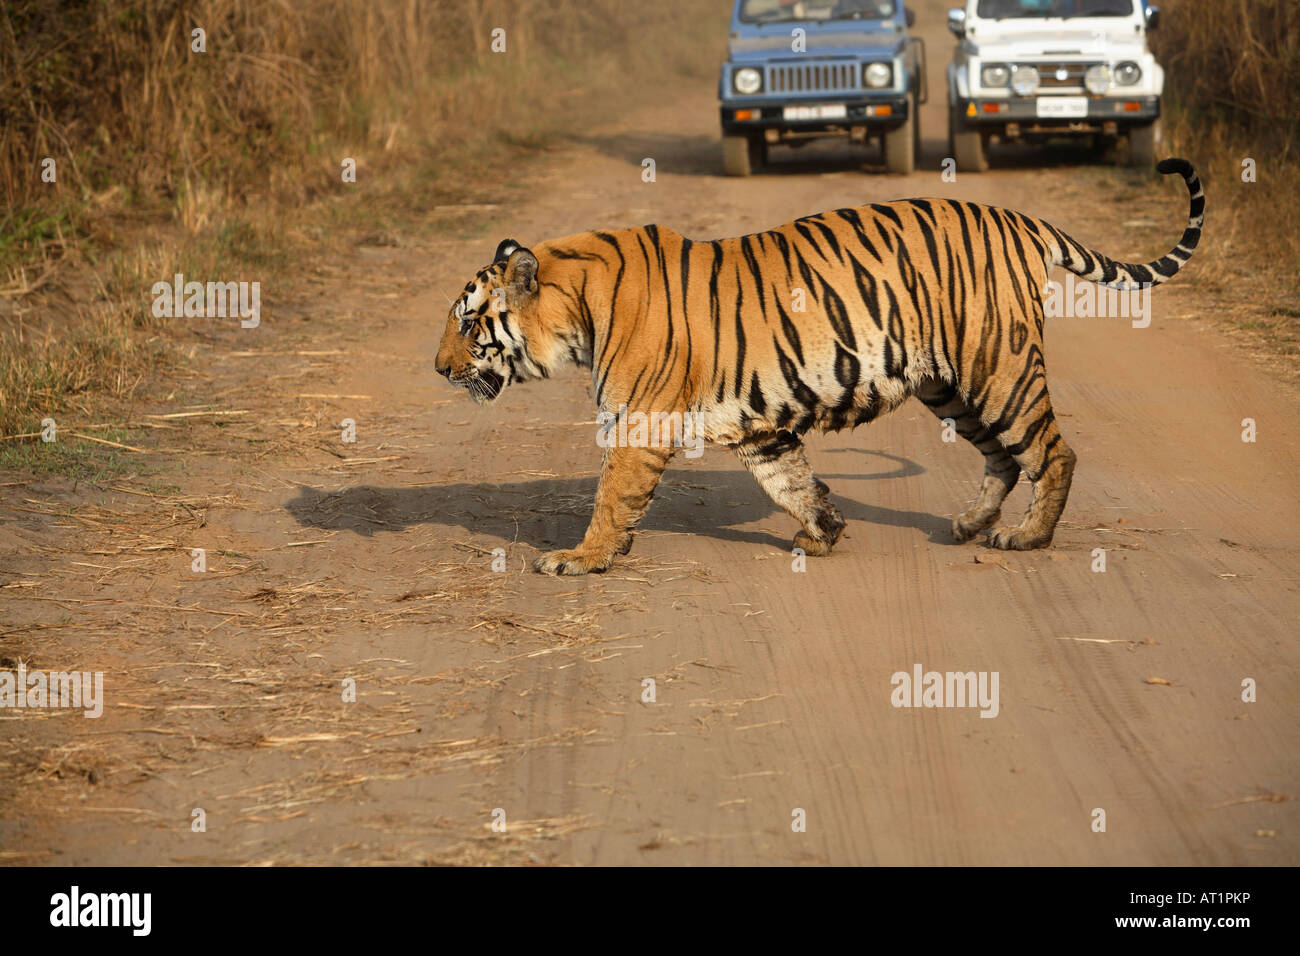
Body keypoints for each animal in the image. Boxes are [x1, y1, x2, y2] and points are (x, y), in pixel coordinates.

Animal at [435, 159, 1204, 575]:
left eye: (469, 323)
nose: (438, 369)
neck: (580, 309)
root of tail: (1017, 217)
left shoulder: (641, 421)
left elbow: (611, 496)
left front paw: (581, 558)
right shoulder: (758, 426)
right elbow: (792, 480)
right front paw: (823, 530)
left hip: (998, 368)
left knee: (1052, 452)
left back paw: (1027, 537)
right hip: (948, 385)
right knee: (1002, 458)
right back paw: (970, 525)